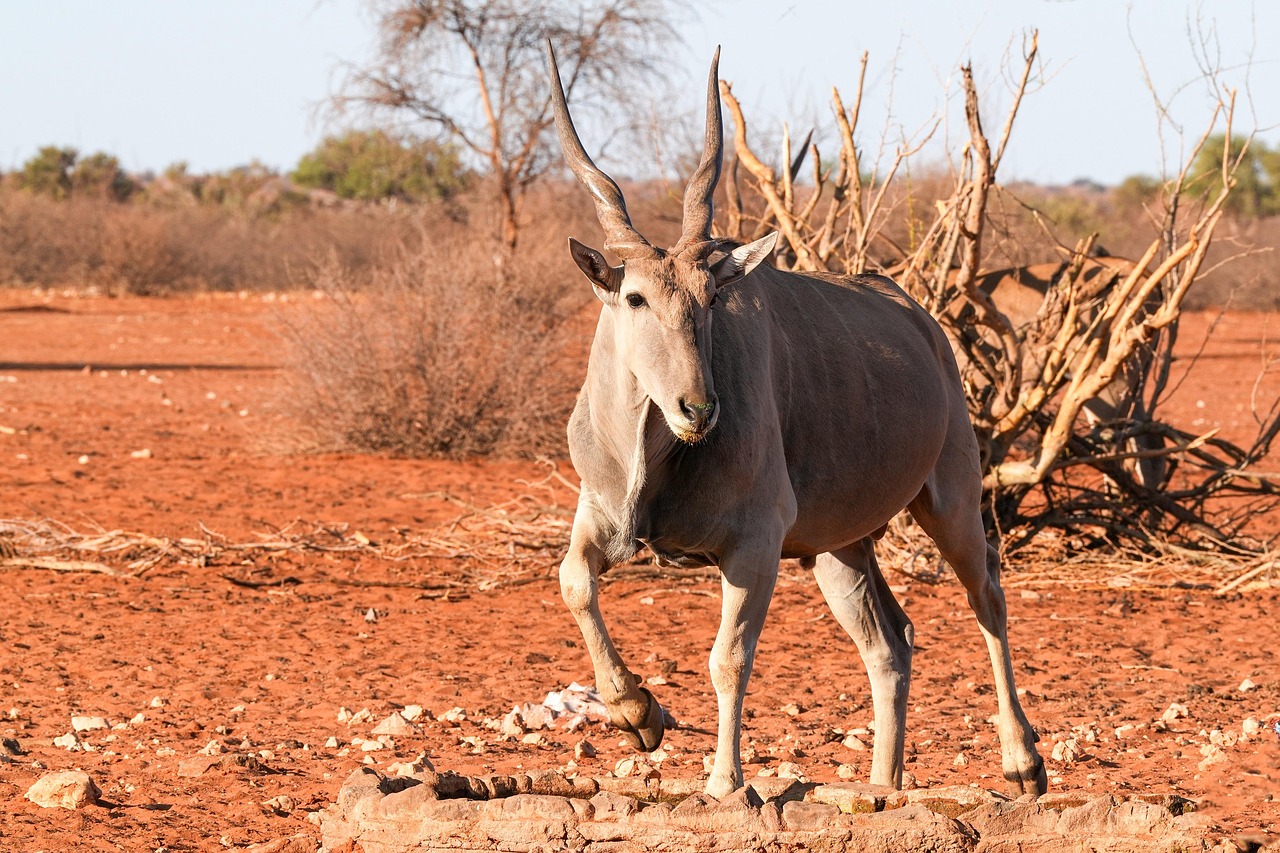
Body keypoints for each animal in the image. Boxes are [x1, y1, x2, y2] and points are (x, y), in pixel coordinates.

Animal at [548, 44, 1047, 799]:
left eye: (713, 297)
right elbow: (575, 583)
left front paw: (724, 781)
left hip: (950, 499)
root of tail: (922, 322)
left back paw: (1022, 761)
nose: (699, 407)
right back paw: (882, 785)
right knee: (891, 641)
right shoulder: (600, 520)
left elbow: (728, 657)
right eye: (634, 297)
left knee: (987, 595)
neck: (656, 452)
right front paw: (639, 714)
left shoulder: (754, 545)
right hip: (838, 549)